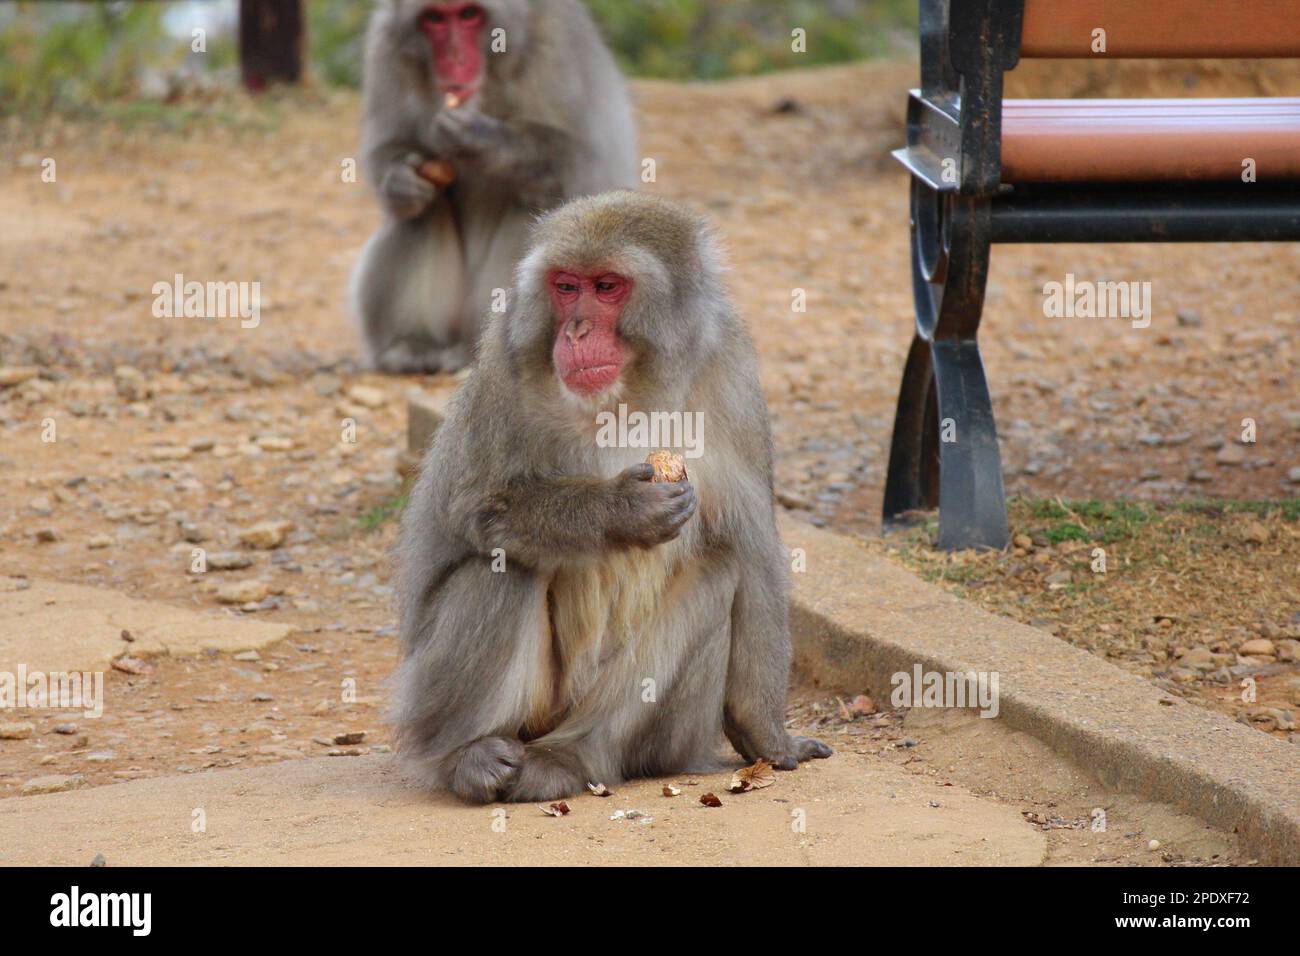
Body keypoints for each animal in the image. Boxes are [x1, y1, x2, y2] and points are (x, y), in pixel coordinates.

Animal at [349, 0, 639, 374]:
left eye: (469, 15)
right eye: (434, 18)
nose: (455, 58)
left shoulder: (559, 42)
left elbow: (587, 164)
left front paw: (479, 139)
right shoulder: (385, 47)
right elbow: (388, 146)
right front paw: (400, 180)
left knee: (533, 207)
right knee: (423, 211)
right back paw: (414, 345)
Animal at [391, 191, 832, 803]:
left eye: (606, 287)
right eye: (565, 286)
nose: (575, 331)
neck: (629, 392)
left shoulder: (732, 372)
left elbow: (753, 548)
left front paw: (768, 737)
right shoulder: (503, 365)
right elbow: (478, 506)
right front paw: (622, 512)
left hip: (657, 735)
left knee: (718, 571)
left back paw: (571, 759)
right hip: (439, 700)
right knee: (504, 565)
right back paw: (467, 759)